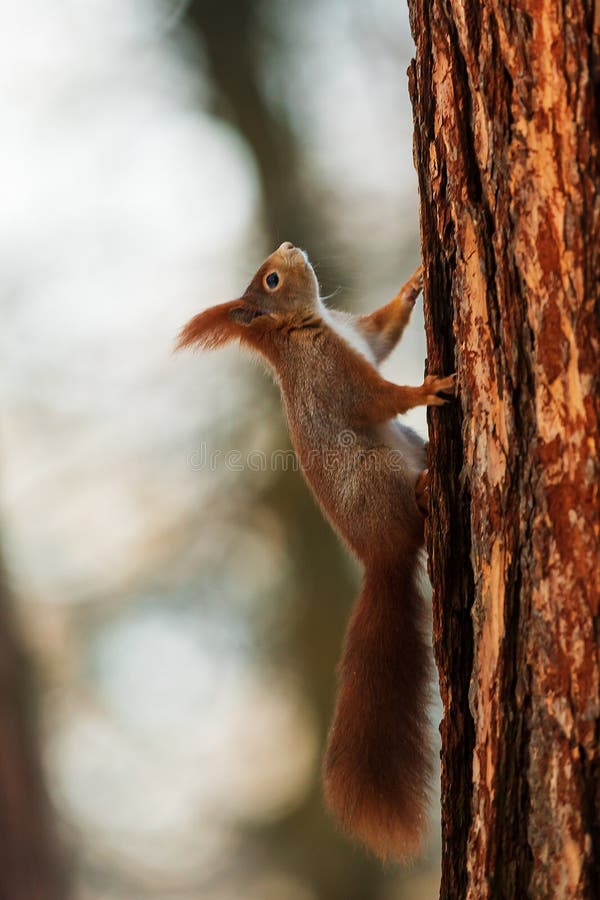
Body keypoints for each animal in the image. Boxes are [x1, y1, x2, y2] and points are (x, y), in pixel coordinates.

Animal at [176, 242, 455, 862]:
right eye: (272, 281)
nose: (287, 246)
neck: (314, 326)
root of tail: (380, 555)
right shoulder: (334, 377)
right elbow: (376, 398)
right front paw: (425, 390)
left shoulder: (359, 337)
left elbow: (383, 331)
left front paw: (413, 284)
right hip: (377, 475)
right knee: (413, 516)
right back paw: (425, 492)